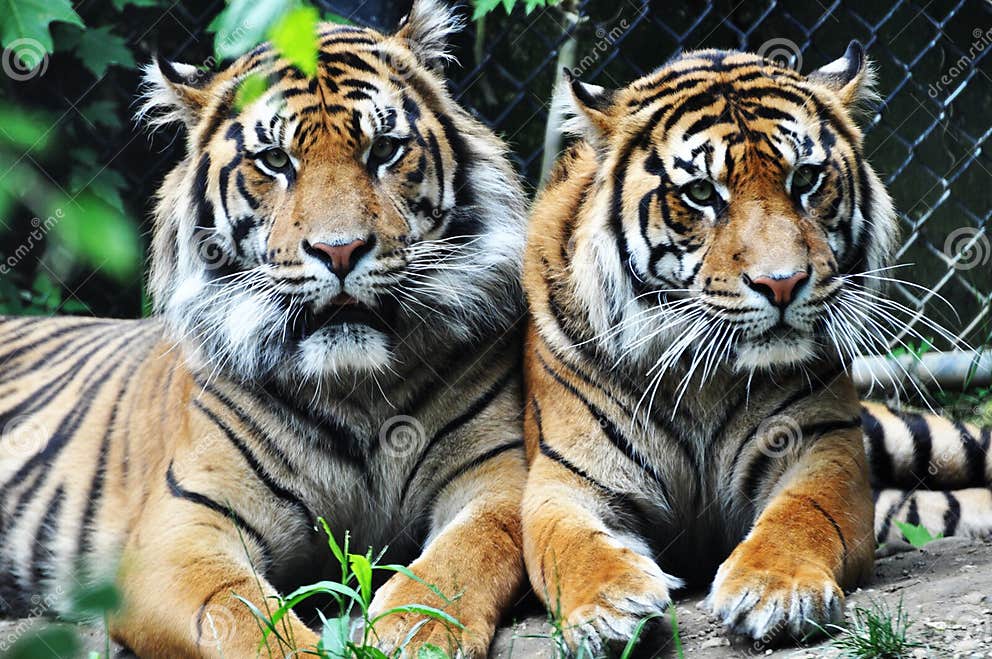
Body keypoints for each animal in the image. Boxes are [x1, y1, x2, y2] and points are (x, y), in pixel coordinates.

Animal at [0, 1, 529, 656]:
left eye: (384, 150)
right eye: (275, 161)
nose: (340, 250)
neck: (357, 388)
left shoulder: (502, 475)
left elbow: (468, 555)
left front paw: (416, 632)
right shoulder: (180, 530)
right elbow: (243, 616)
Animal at [520, 41, 992, 653]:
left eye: (807, 178)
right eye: (701, 192)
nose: (783, 283)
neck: (701, 376)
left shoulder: (823, 447)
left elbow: (801, 517)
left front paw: (776, 590)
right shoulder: (564, 481)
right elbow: (570, 545)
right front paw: (606, 609)